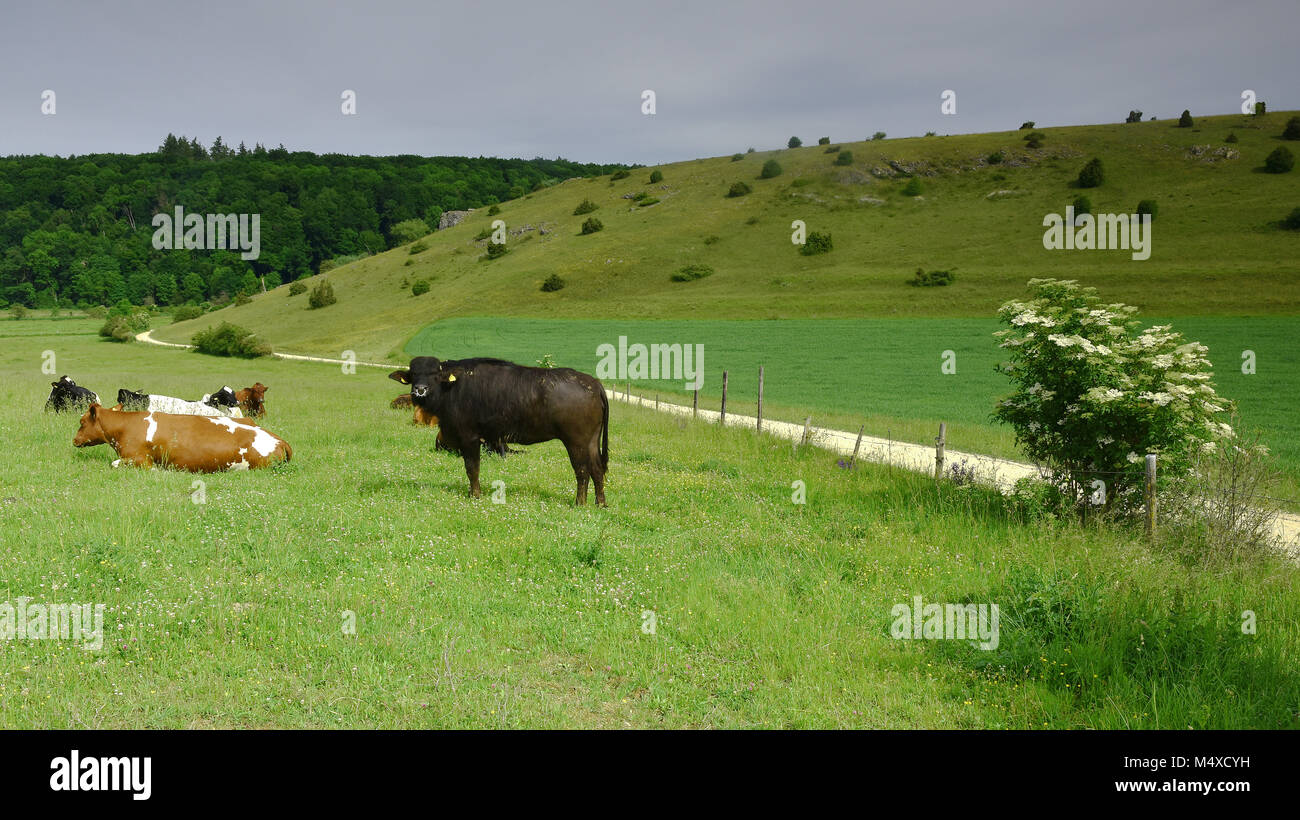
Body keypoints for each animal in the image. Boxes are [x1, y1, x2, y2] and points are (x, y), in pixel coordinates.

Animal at [390, 358, 608, 506]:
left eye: (435, 374)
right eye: (413, 374)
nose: (420, 390)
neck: (452, 388)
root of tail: (593, 383)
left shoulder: (469, 438)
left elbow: (472, 468)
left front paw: (474, 495)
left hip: (576, 442)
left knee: (582, 471)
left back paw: (580, 502)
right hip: (591, 441)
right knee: (597, 470)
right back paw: (600, 503)